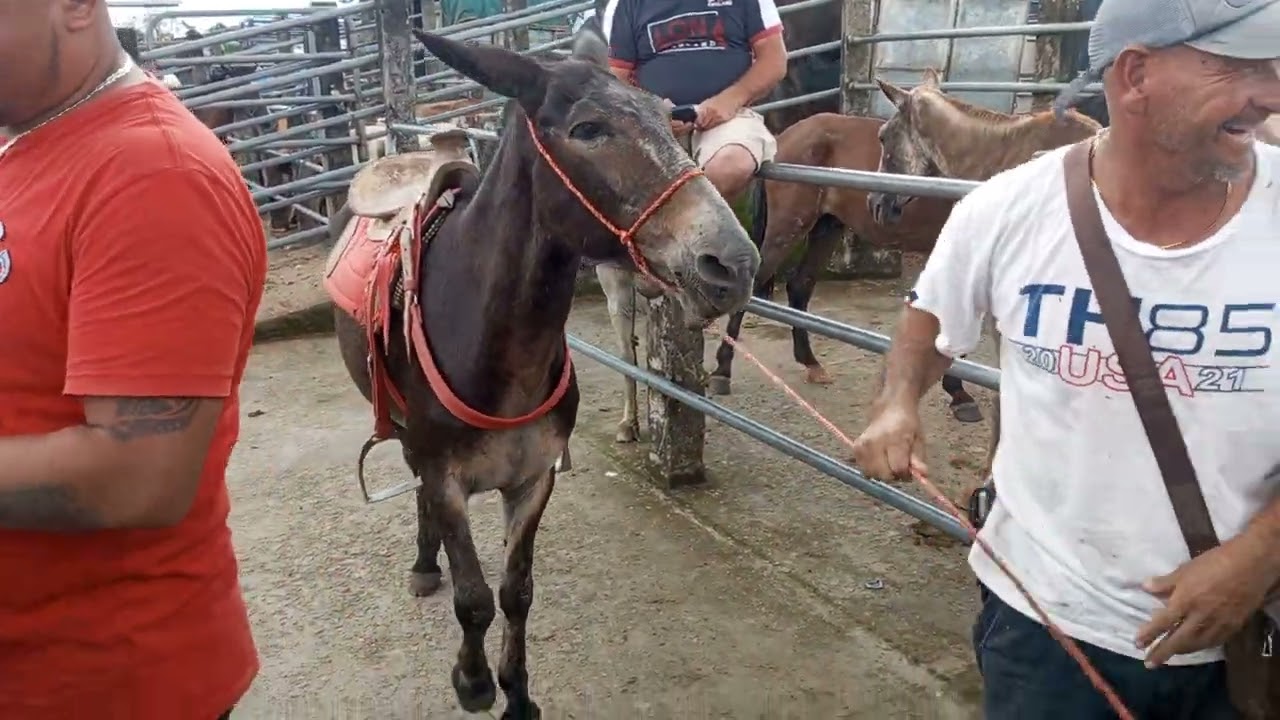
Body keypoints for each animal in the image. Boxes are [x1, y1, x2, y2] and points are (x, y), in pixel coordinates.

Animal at [324, 27, 759, 718]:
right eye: (587, 129)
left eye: (669, 117)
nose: (734, 264)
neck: (502, 348)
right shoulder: (447, 479)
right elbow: (473, 597)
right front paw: (474, 683)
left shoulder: (533, 479)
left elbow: (516, 593)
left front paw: (519, 694)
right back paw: (424, 564)